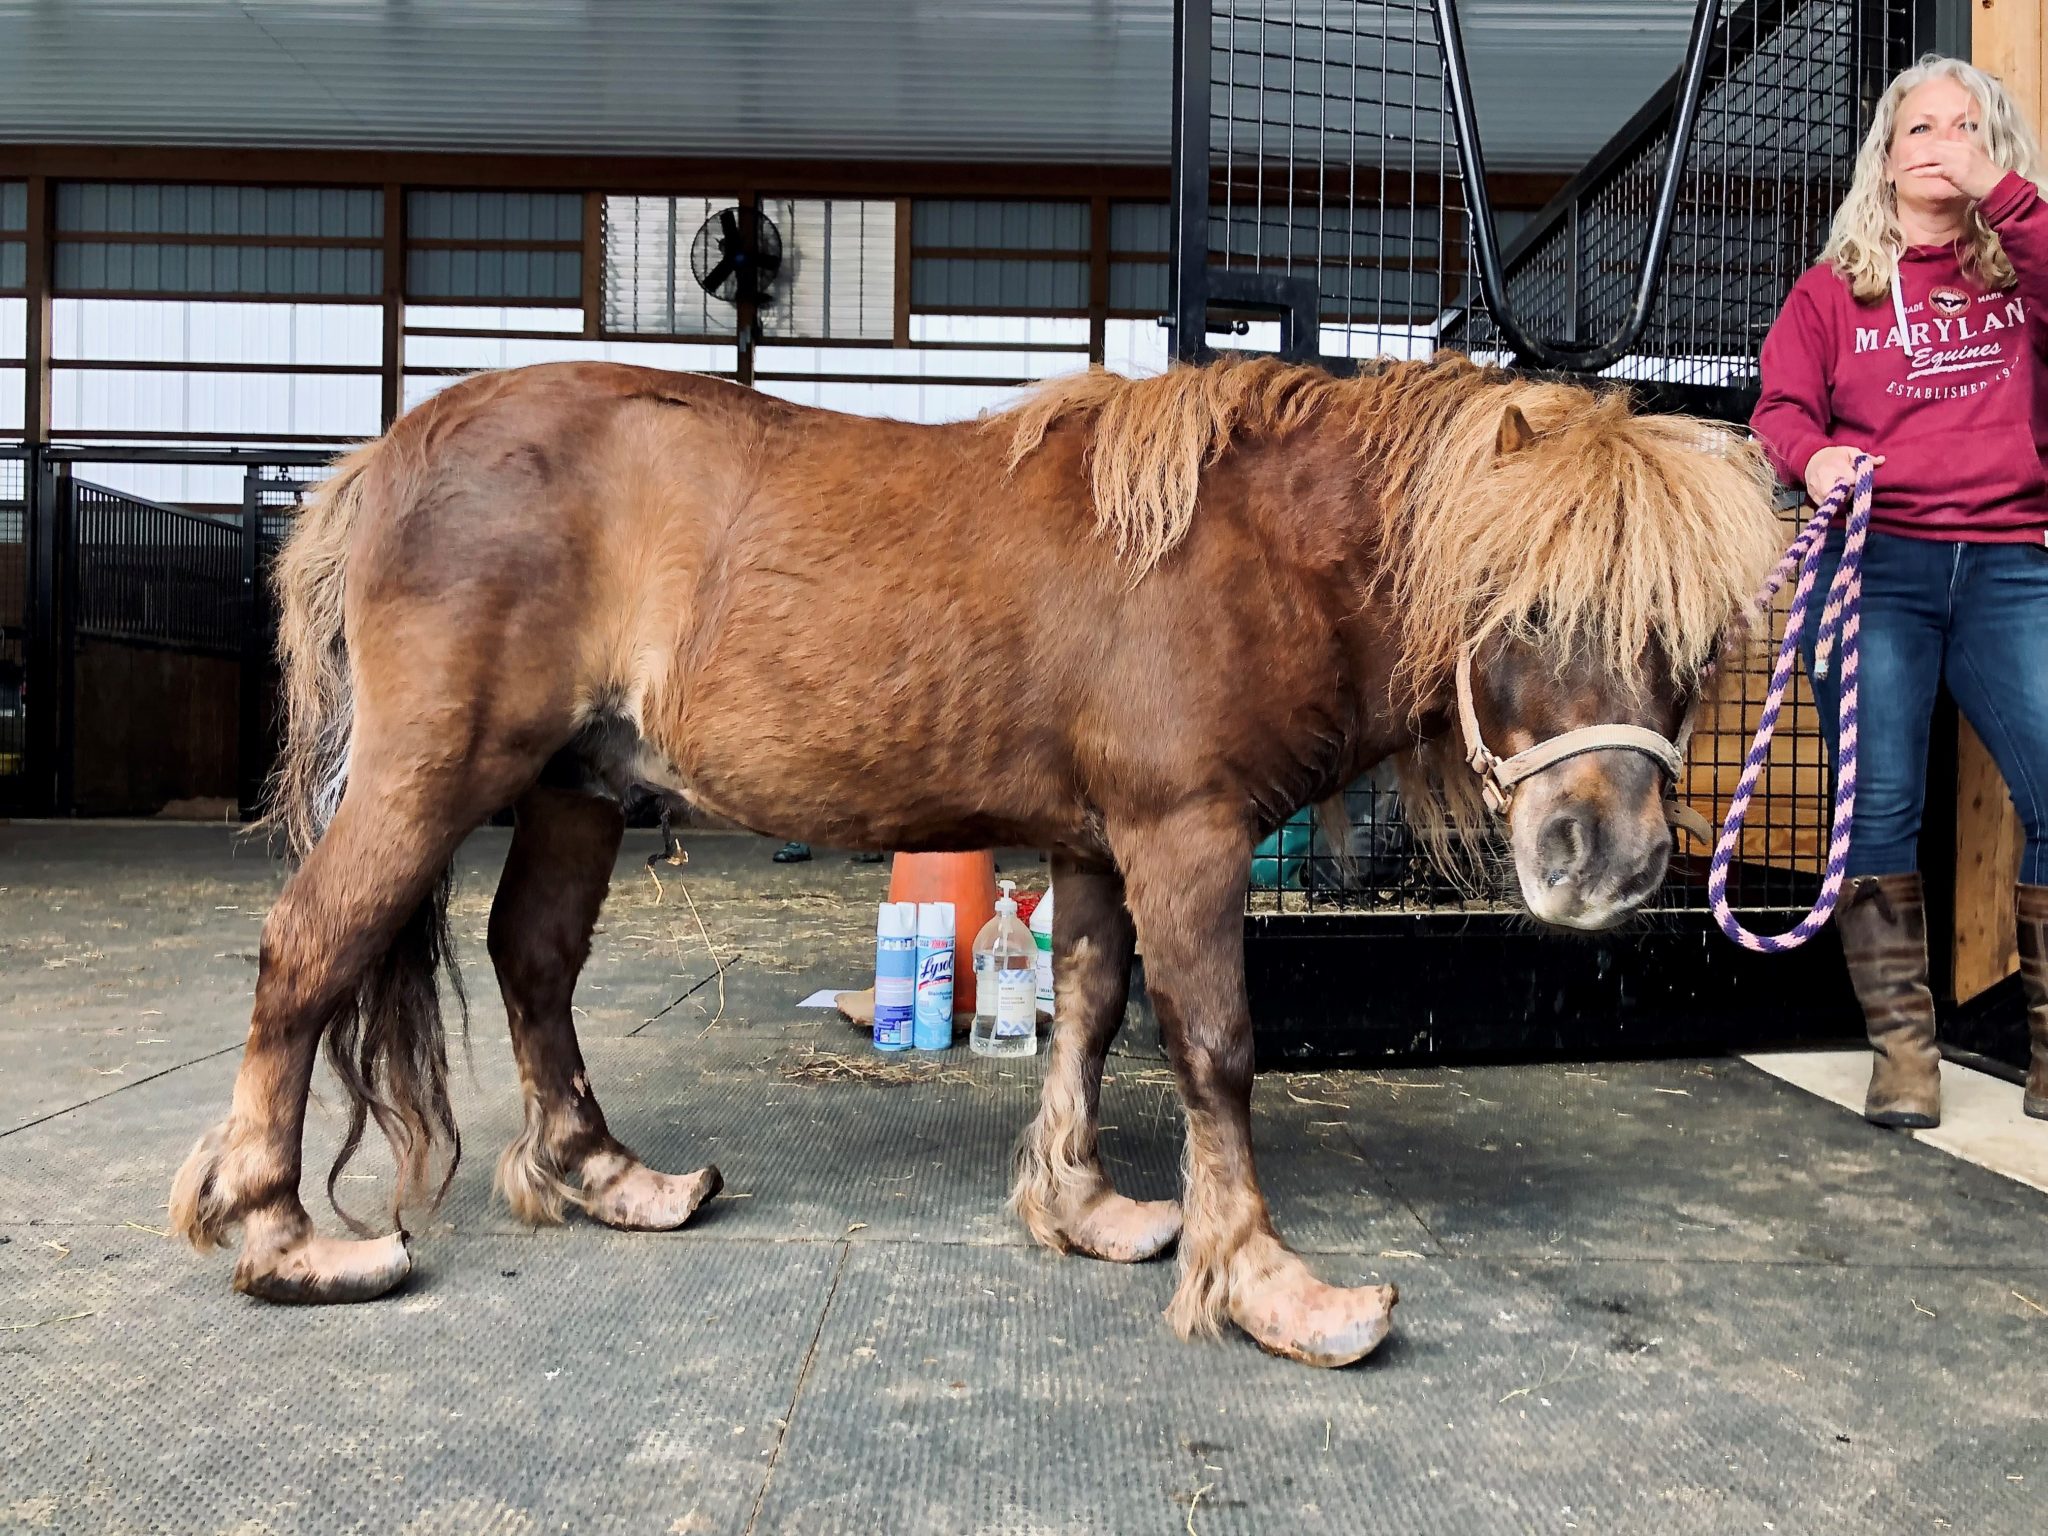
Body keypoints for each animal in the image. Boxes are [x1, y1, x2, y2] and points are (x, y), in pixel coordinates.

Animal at [169, 353, 1781, 1367]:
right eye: (1525, 608)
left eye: (1691, 639)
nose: (1606, 861)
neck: (1245, 549)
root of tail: (384, 458)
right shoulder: (1184, 835)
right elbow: (1215, 1047)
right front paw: (1268, 1288)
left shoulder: (1098, 845)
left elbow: (1090, 1014)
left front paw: (1085, 1212)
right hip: (437, 775)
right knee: (306, 952)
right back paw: (280, 1235)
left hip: (576, 789)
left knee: (534, 964)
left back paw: (612, 1177)